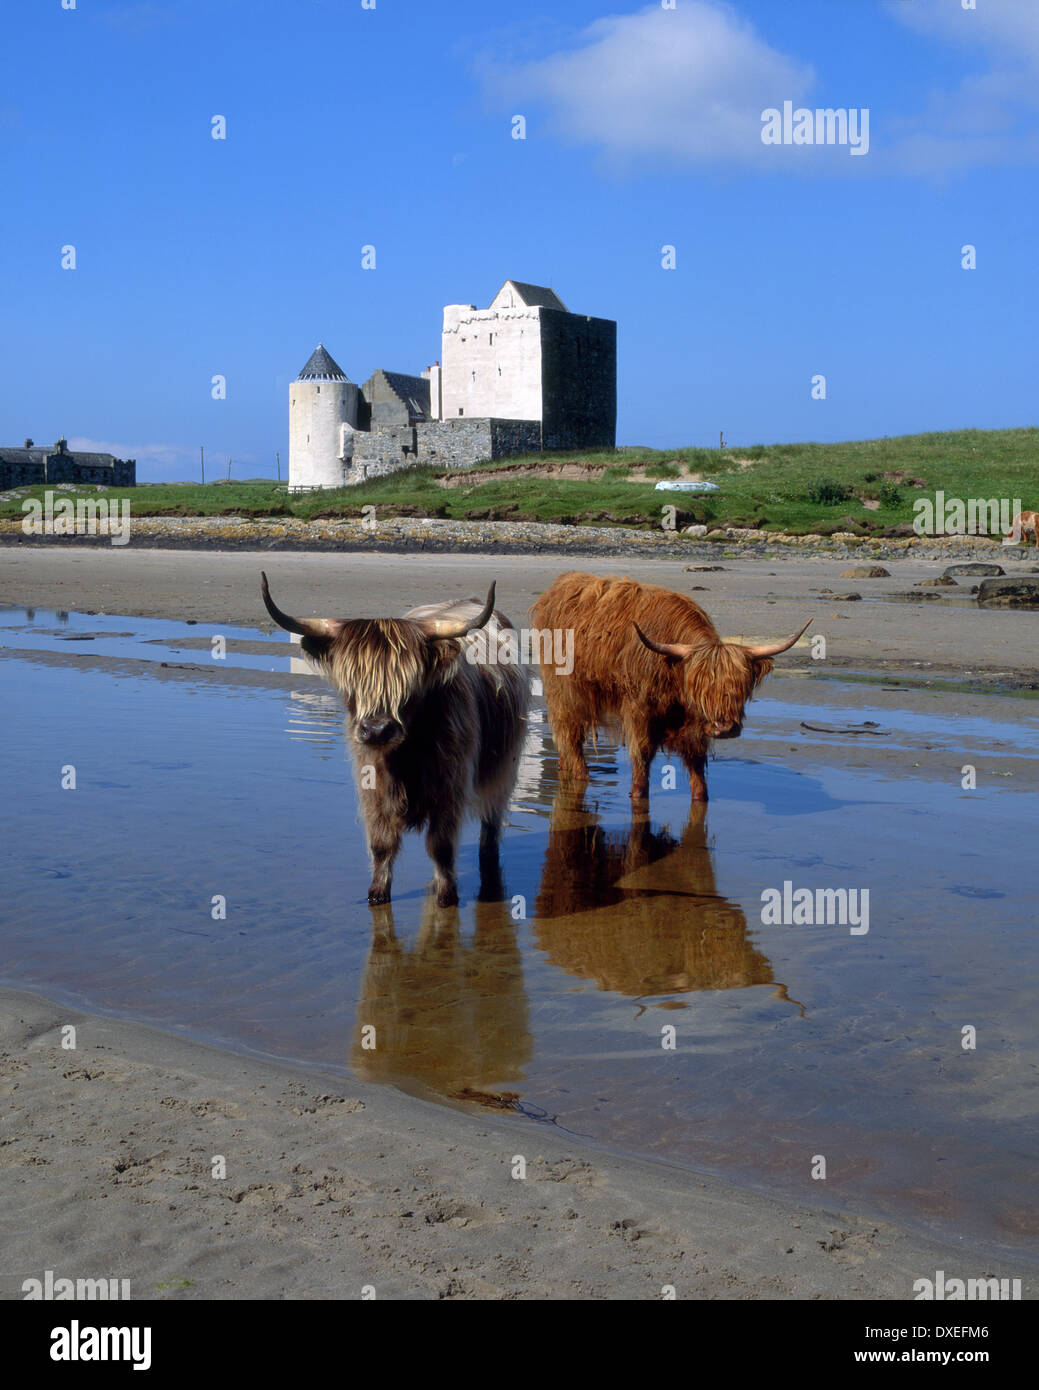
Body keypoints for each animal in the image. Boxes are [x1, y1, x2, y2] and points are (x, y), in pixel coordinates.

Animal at [261, 573, 528, 907]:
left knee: (490, 826)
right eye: (351, 683)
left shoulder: (450, 790)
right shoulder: (372, 790)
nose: (377, 730)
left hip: (504, 768)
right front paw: (377, 896)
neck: (404, 761)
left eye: (409, 685)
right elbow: (381, 846)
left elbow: (441, 848)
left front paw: (447, 898)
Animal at [531, 571, 810, 804]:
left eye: (741, 686)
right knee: (569, 733)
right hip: (563, 691)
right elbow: (641, 764)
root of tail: (561, 584)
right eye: (699, 685)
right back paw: (581, 775)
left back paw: (563, 766)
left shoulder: (695, 727)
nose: (724, 728)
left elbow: (698, 774)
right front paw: (637, 794)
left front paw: (700, 796)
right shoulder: (639, 713)